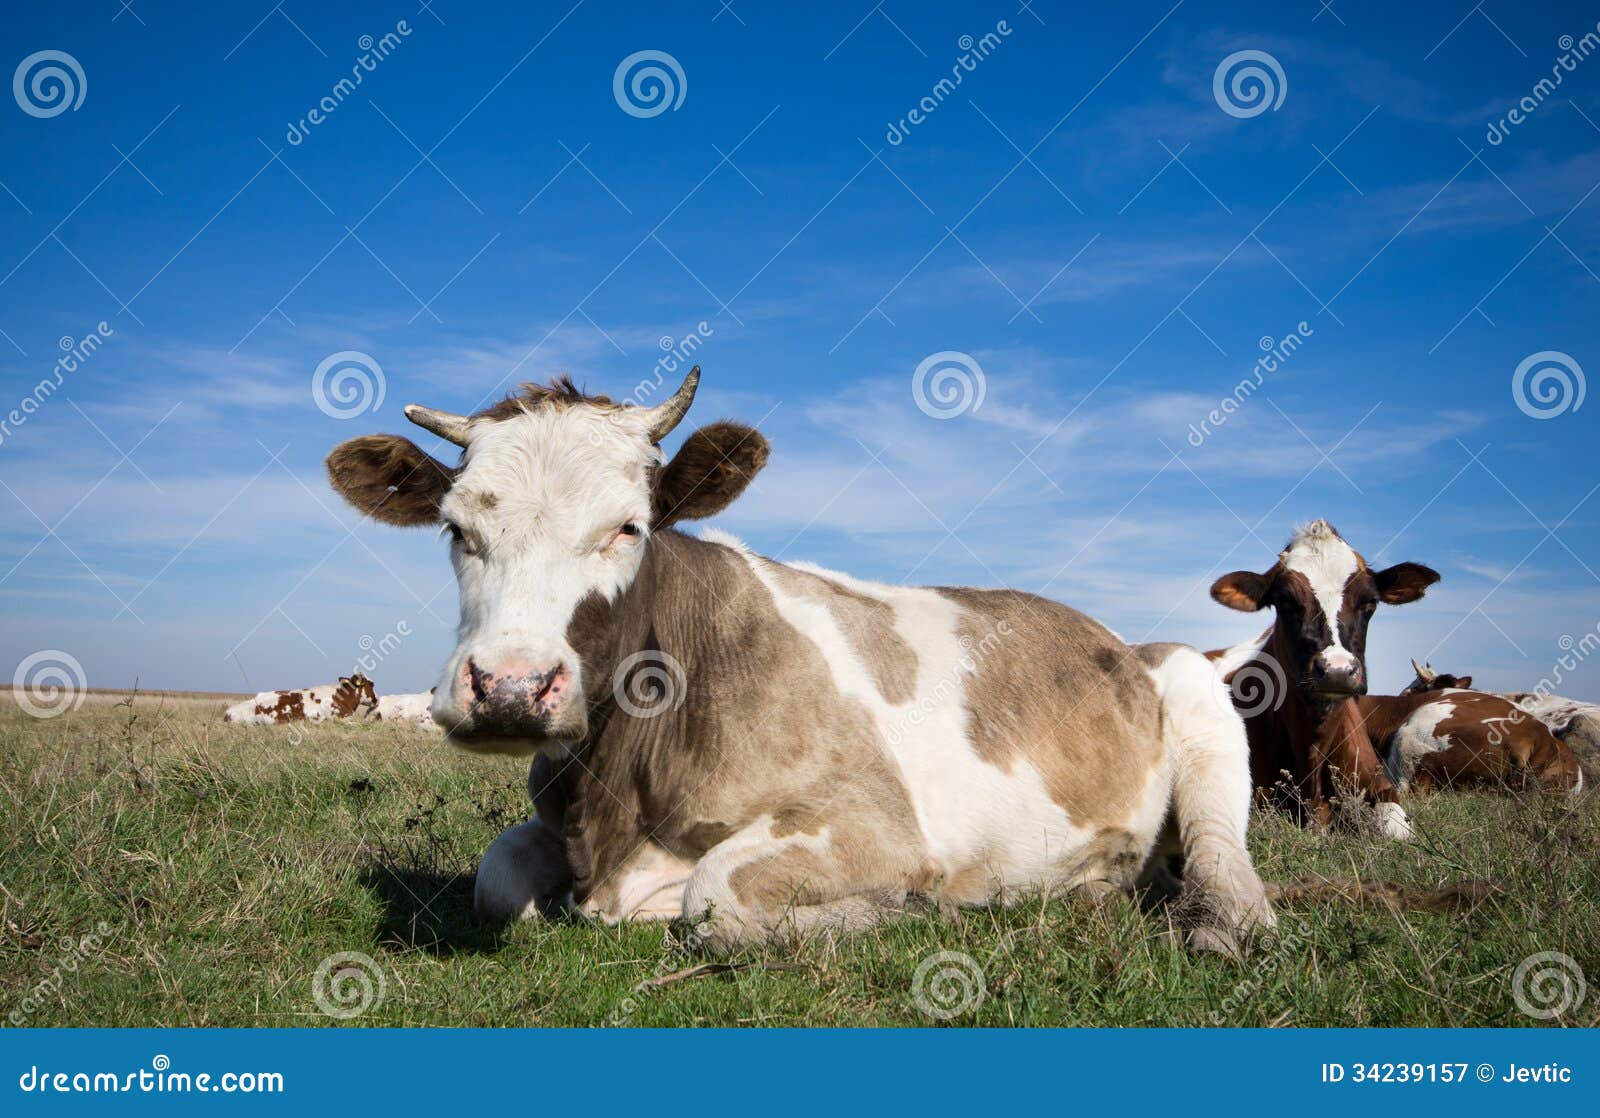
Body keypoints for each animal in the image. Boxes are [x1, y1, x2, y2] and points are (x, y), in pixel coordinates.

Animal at [325, 367, 1274, 954]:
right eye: (456, 529)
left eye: (630, 526)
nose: (512, 689)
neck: (620, 794)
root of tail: (1116, 638)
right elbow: (497, 877)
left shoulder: (873, 823)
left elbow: (713, 898)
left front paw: (912, 908)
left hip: (1201, 700)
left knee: (1230, 872)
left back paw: (1210, 923)